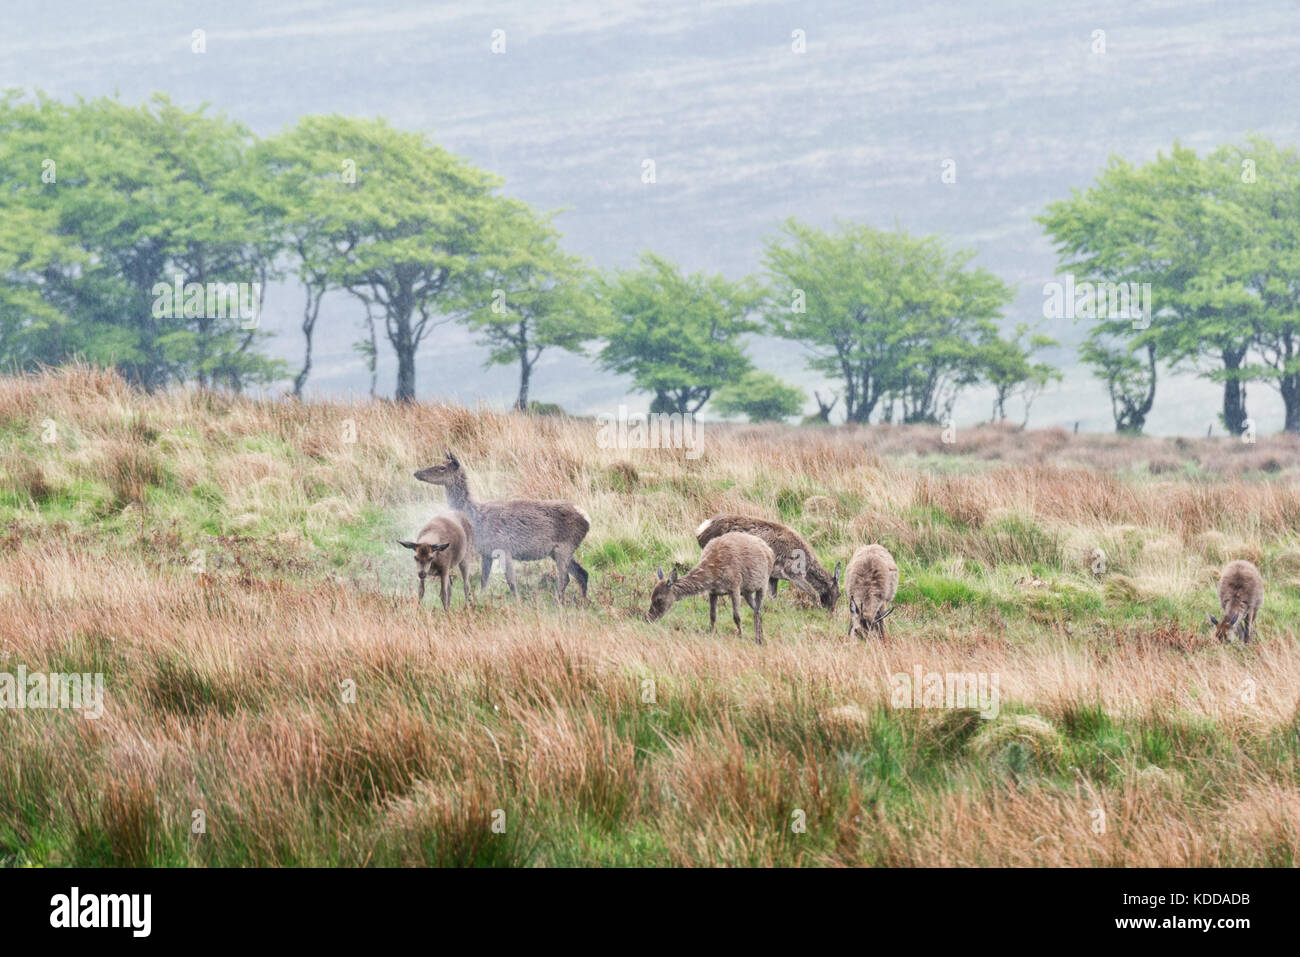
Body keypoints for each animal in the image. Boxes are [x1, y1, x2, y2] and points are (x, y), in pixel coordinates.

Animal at [413, 452, 590, 602]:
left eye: (442, 467)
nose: (417, 473)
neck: (476, 520)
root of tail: (587, 519)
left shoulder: (504, 548)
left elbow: (511, 581)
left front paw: (518, 602)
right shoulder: (486, 552)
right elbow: (484, 581)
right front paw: (481, 600)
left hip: (564, 547)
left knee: (565, 578)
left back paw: (558, 602)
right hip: (557, 551)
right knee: (582, 573)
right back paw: (583, 602)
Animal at [695, 514, 840, 613]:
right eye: (838, 594)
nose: (831, 612)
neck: (806, 566)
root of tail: (701, 530)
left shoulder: (773, 576)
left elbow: (772, 596)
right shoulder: (791, 572)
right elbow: (812, 592)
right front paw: (818, 609)